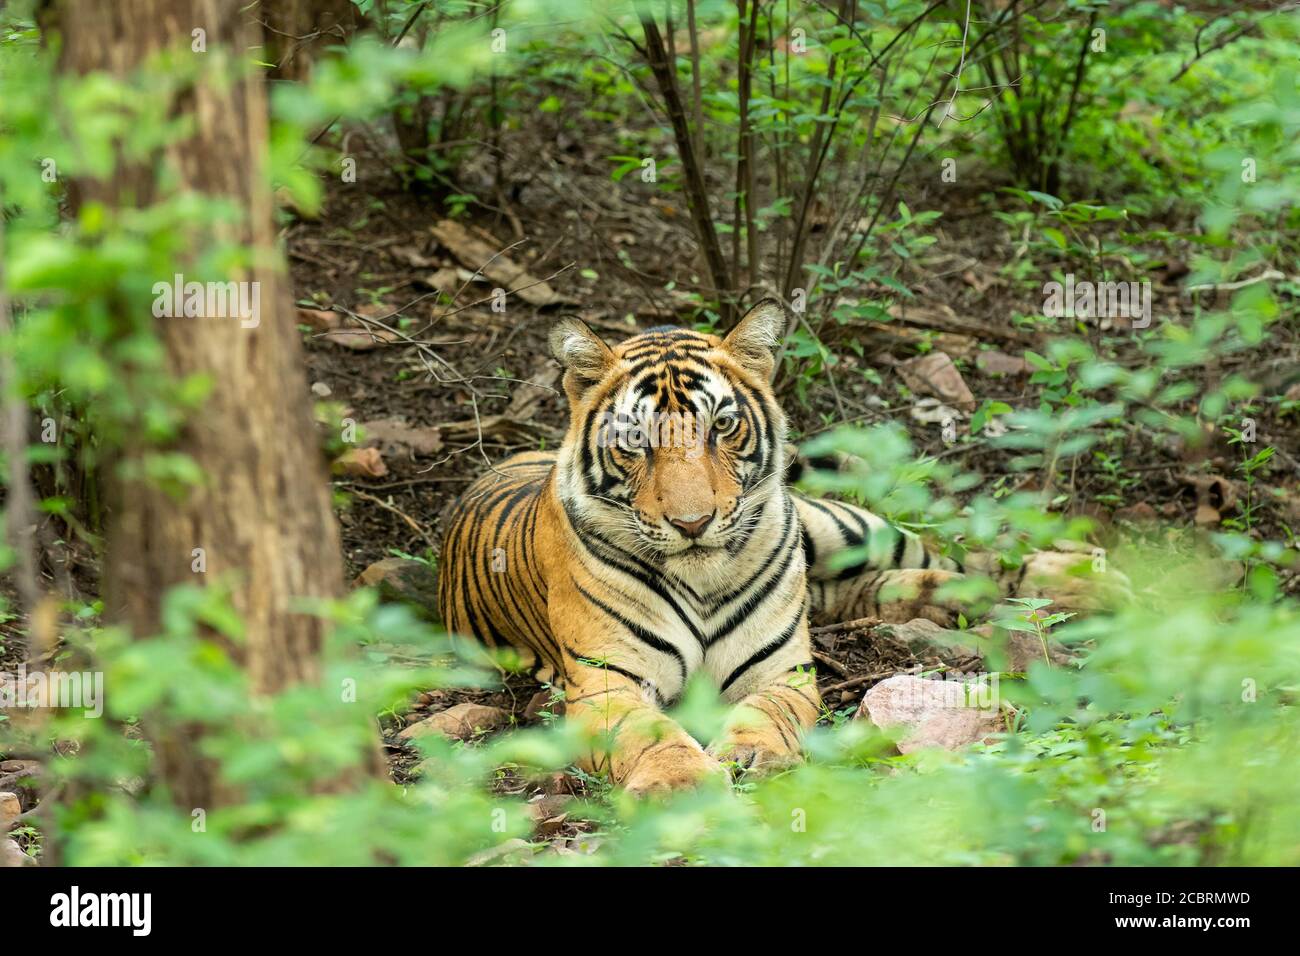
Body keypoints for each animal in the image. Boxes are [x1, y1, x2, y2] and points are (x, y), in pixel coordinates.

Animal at [438, 299, 1101, 795]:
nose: (693, 522)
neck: (701, 580)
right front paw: (680, 782)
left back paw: (1085, 579)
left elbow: (766, 715)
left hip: (844, 526)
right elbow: (648, 734)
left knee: (965, 560)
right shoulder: (607, 683)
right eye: (636, 440)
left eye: (722, 426)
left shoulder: (781, 671)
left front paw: (758, 756)